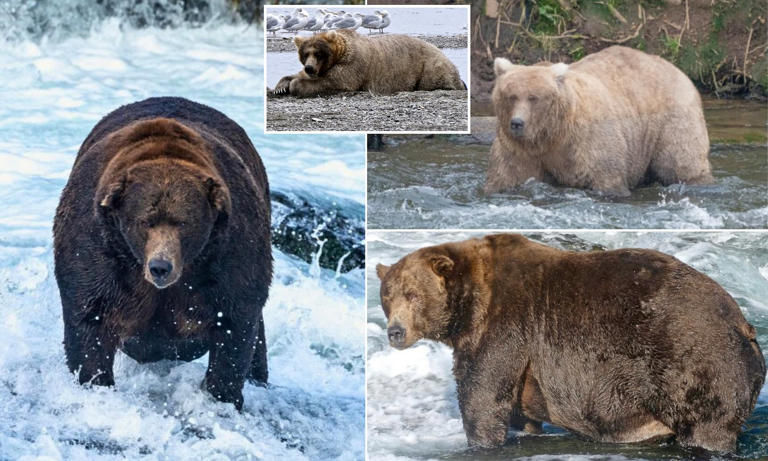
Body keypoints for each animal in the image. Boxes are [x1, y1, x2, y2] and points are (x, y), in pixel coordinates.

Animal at [53, 97, 272, 410]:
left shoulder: (230, 251)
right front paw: (96, 381)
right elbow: (90, 318)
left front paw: (223, 394)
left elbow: (234, 323)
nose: (160, 266)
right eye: (145, 221)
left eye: (184, 222)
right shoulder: (98, 246)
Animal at [271, 29, 465, 98]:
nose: (310, 67)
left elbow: (335, 82)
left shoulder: (353, 65)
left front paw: (295, 85)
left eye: (318, 53)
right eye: (306, 54)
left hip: (429, 67)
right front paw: (281, 86)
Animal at [376, 234, 765, 452]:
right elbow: (517, 411)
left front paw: (479, 441)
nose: (395, 332)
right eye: (387, 296)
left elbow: (482, 396)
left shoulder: (505, 325)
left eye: (412, 294)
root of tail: (743, 323)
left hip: (695, 364)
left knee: (707, 425)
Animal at [486, 46, 713, 196]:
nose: (517, 123)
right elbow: (506, 176)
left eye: (534, 97)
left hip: (672, 118)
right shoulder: (520, 149)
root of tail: (679, 71)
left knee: (680, 161)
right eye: (511, 96)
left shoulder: (589, 140)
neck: (552, 134)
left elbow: (606, 177)